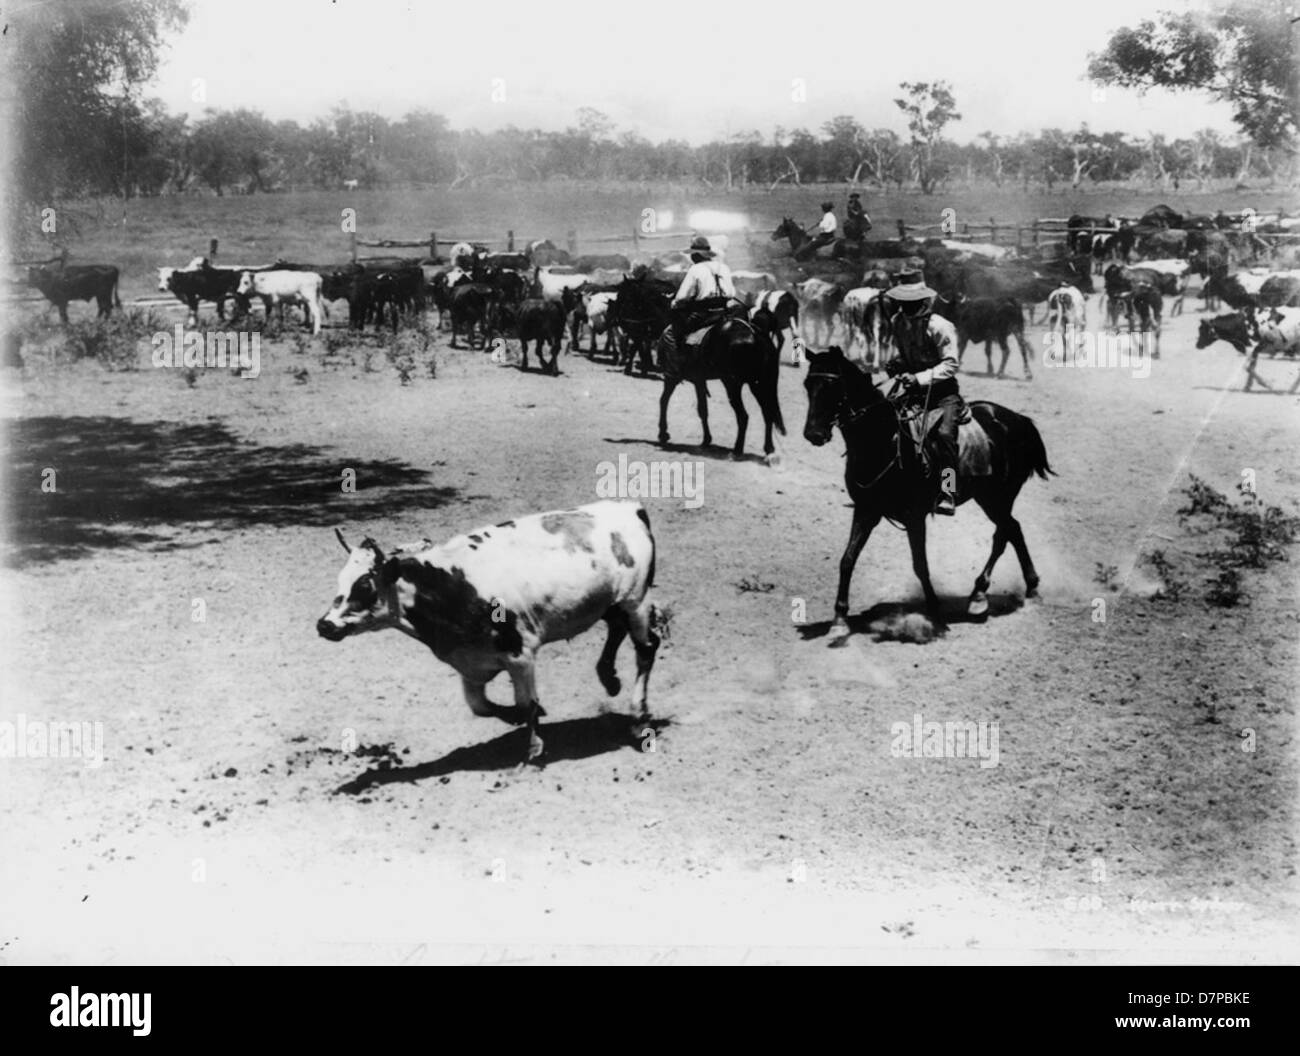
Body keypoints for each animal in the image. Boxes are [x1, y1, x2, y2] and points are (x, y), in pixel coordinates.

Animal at [317, 501, 661, 764]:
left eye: (365, 585)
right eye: (340, 580)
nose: (325, 625)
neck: (452, 585)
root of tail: (630, 508)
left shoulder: (520, 654)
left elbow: (526, 703)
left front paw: (534, 746)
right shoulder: (470, 662)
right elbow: (479, 706)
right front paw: (519, 721)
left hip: (635, 601)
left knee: (646, 648)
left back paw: (638, 717)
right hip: (611, 603)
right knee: (617, 629)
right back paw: (609, 678)